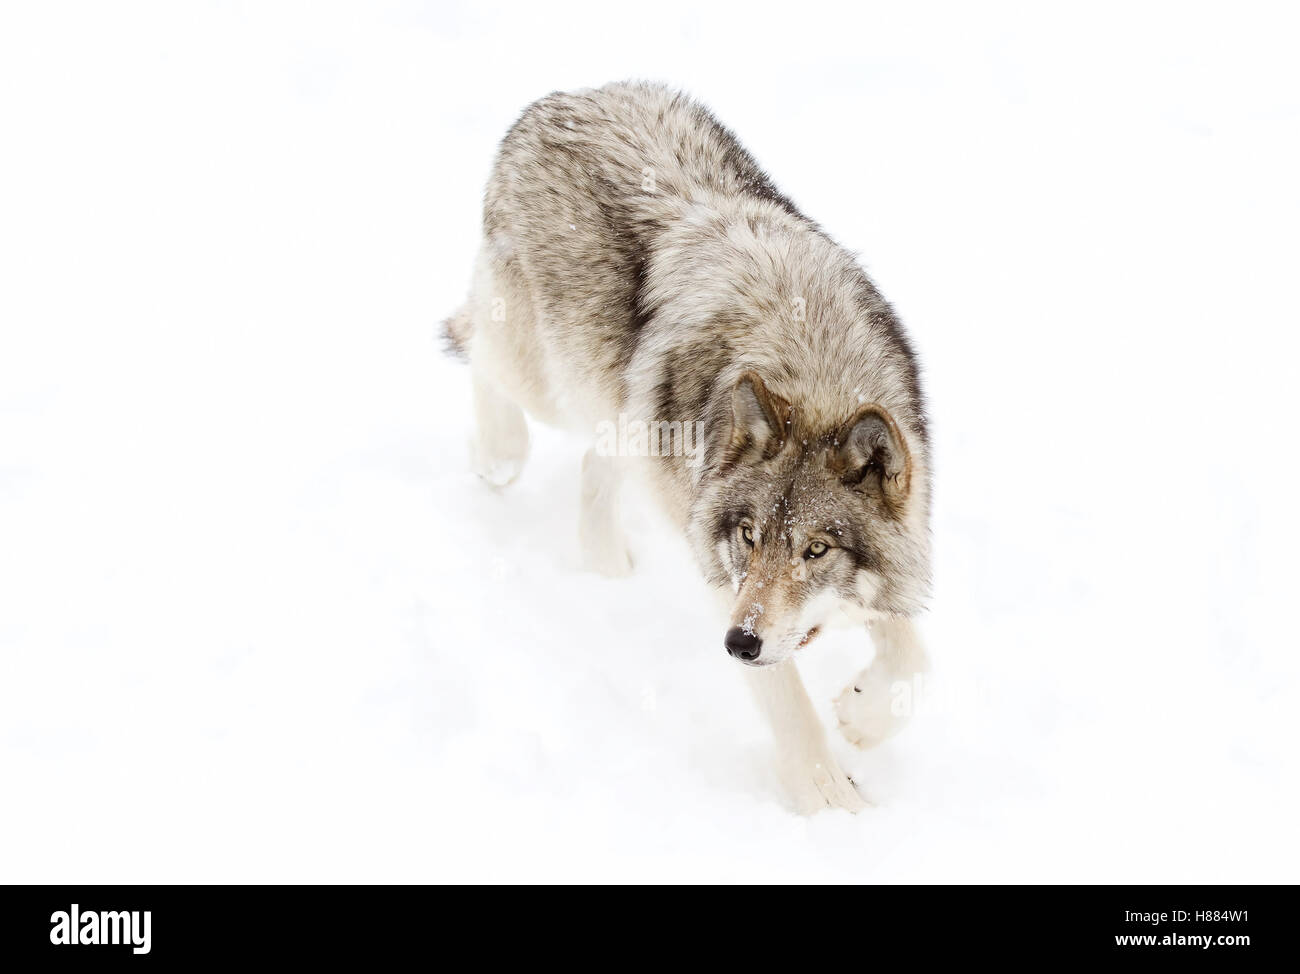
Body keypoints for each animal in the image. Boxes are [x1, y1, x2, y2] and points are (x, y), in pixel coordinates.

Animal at [442, 81, 932, 813]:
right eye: (749, 536)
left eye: (816, 550)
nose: (738, 642)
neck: (810, 367)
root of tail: (561, 97)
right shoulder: (723, 584)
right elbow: (790, 704)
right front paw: (827, 799)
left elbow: (913, 658)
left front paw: (862, 714)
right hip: (545, 374)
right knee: (478, 344)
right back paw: (496, 456)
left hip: (620, 412)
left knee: (593, 465)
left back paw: (609, 569)